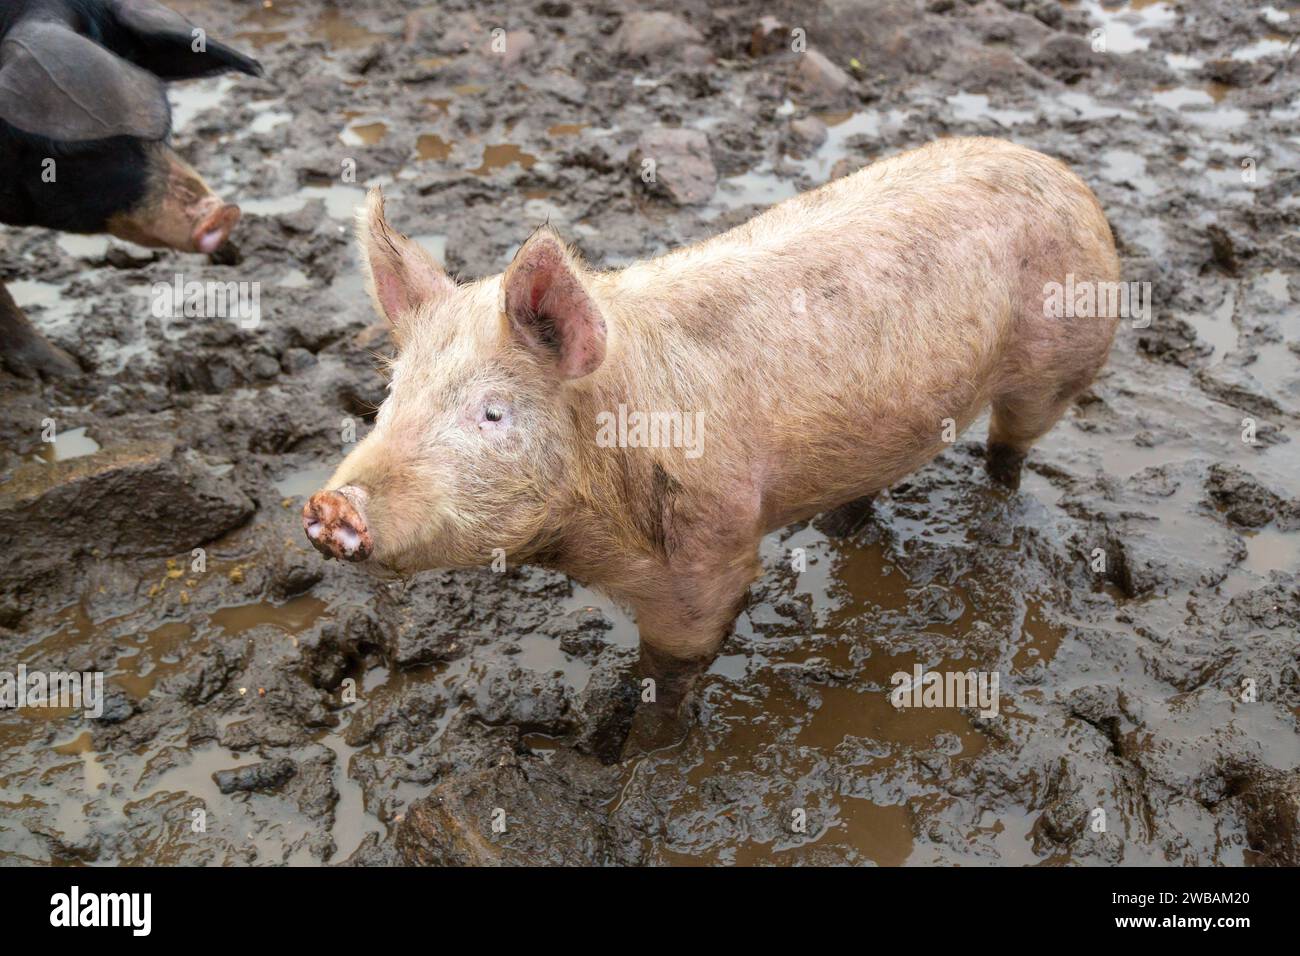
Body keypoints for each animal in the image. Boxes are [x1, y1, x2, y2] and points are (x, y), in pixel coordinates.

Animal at [304, 137, 1121, 752]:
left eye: (493, 413)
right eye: (391, 393)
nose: (331, 505)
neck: (592, 539)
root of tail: (1063, 172)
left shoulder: (711, 549)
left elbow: (673, 669)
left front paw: (638, 758)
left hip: (1059, 361)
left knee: (1011, 449)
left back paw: (996, 514)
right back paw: (840, 528)